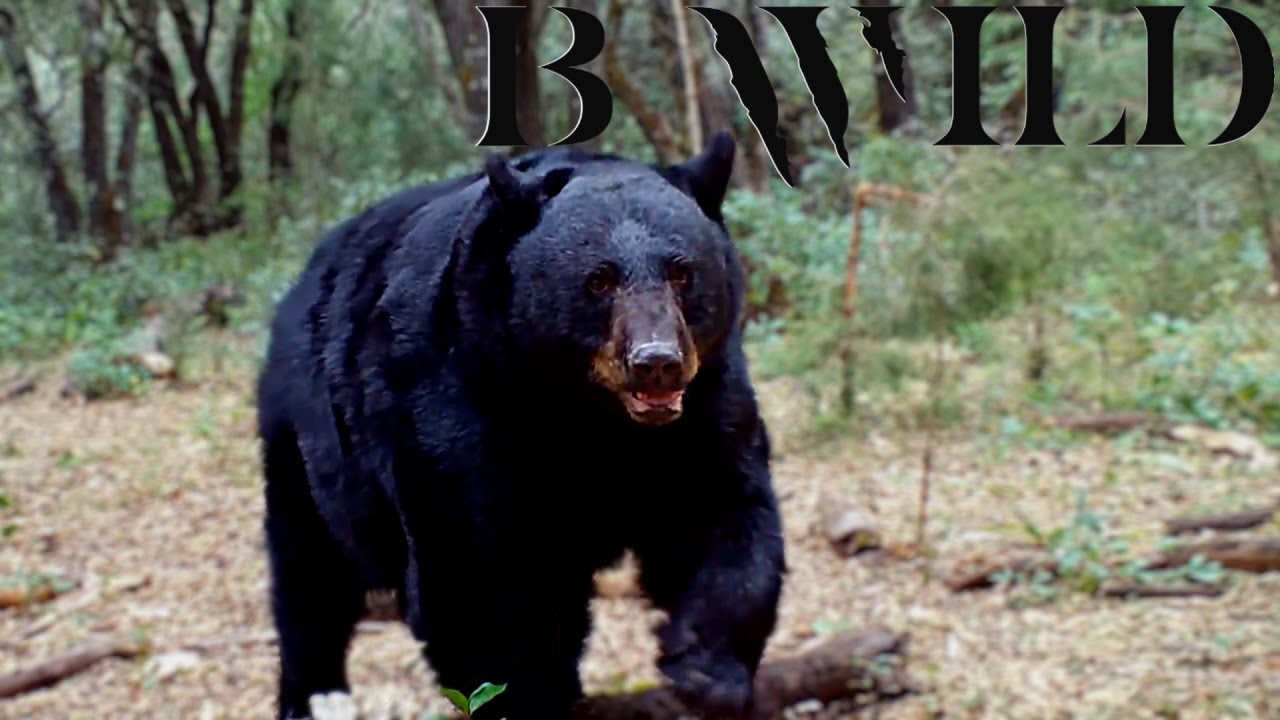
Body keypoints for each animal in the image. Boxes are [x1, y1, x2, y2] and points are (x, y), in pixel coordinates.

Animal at [256, 131, 787, 720]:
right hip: (307, 447)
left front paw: (706, 671)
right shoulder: (460, 409)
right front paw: (526, 698)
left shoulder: (703, 405)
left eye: (682, 271)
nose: (656, 361)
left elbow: (721, 513)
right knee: (310, 579)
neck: (589, 413)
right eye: (599, 279)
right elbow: (477, 573)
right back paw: (309, 693)